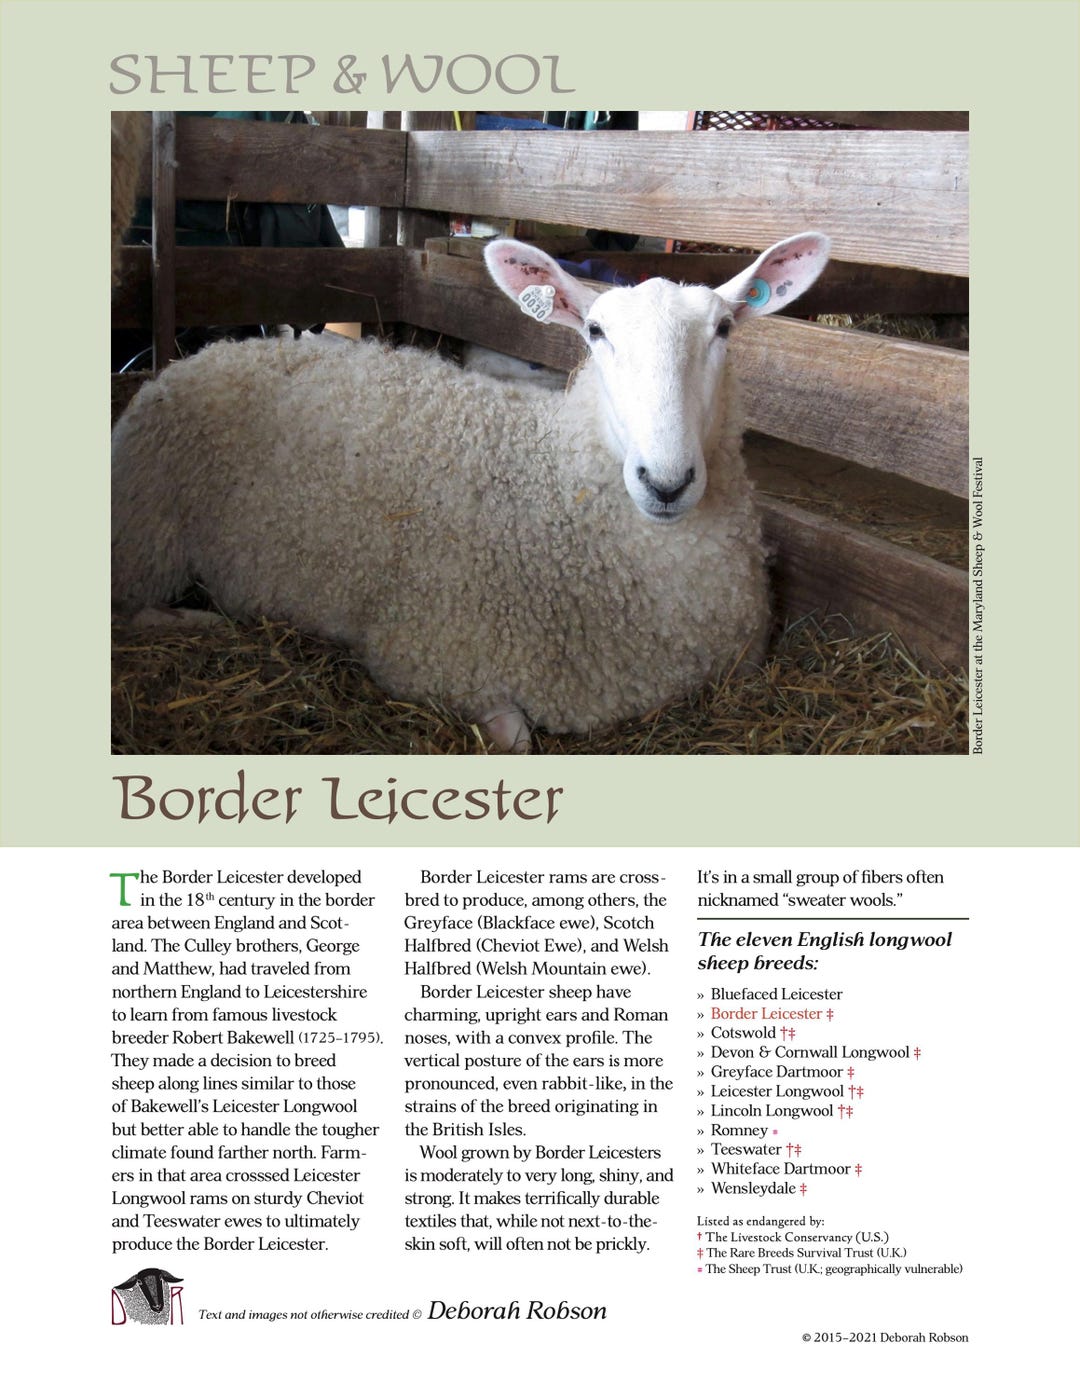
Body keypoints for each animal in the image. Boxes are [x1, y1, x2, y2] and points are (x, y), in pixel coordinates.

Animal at [112, 232, 829, 751]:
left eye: (725, 330)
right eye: (595, 332)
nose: (667, 481)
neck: (553, 482)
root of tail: (200, 356)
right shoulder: (430, 655)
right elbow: (515, 739)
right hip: (146, 531)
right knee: (131, 613)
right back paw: (202, 622)